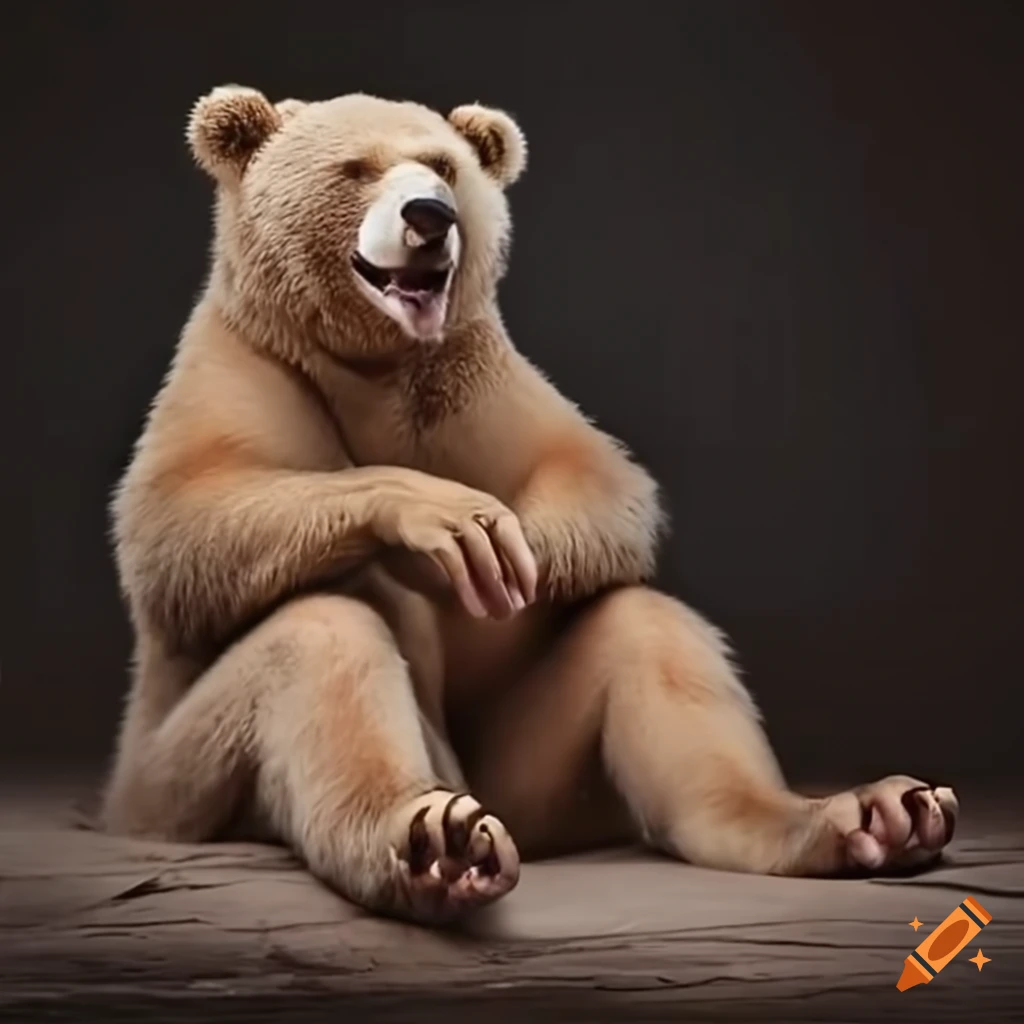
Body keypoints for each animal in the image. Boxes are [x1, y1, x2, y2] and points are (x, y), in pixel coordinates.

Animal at [101, 85, 959, 925]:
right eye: (355, 168)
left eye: (443, 166)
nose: (430, 216)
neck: (372, 365)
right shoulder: (243, 364)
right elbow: (179, 527)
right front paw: (443, 527)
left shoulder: (471, 383)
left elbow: (593, 471)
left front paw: (503, 553)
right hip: (177, 783)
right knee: (318, 637)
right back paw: (432, 843)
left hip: (531, 781)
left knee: (648, 630)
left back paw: (863, 819)